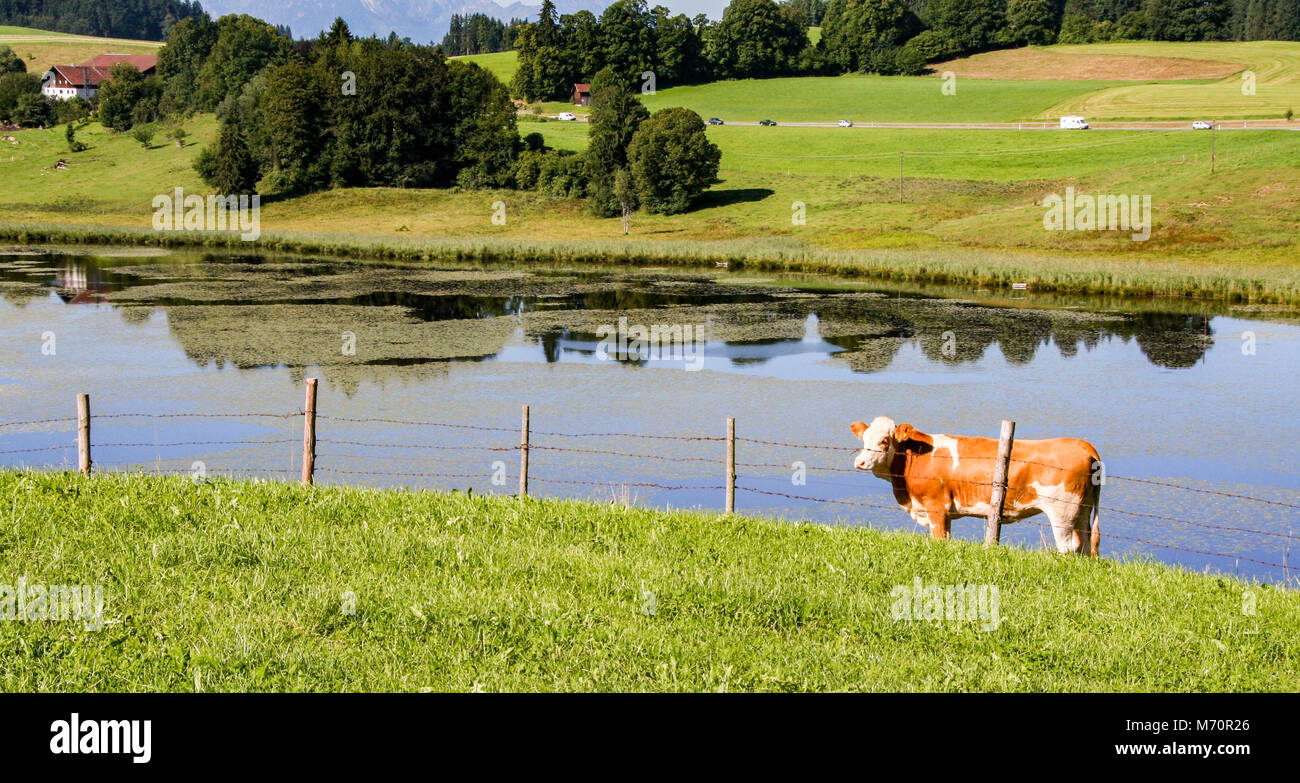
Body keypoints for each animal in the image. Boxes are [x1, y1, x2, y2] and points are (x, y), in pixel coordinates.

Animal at [850, 416, 1102, 556]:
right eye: (863, 440)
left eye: (884, 441)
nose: (859, 462)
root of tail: (1082, 444)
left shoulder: (936, 507)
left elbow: (939, 538)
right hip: (1082, 509)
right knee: (1086, 541)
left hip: (1062, 511)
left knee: (1068, 545)